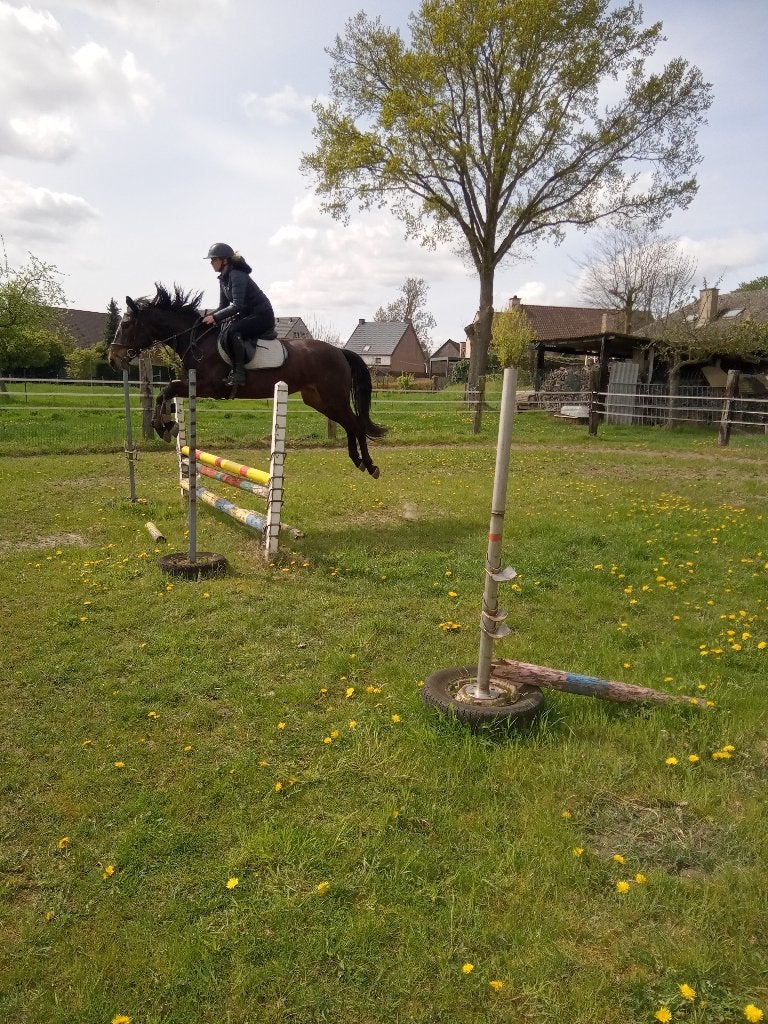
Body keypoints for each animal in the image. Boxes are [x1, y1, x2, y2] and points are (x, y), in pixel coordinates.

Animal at [107, 284, 386, 477]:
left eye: (127, 325)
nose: (112, 358)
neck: (198, 340)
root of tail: (339, 350)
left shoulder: (209, 387)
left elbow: (167, 389)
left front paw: (163, 427)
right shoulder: (193, 385)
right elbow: (165, 393)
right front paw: (166, 425)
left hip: (332, 397)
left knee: (355, 424)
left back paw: (370, 464)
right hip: (319, 400)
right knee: (349, 423)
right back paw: (358, 461)